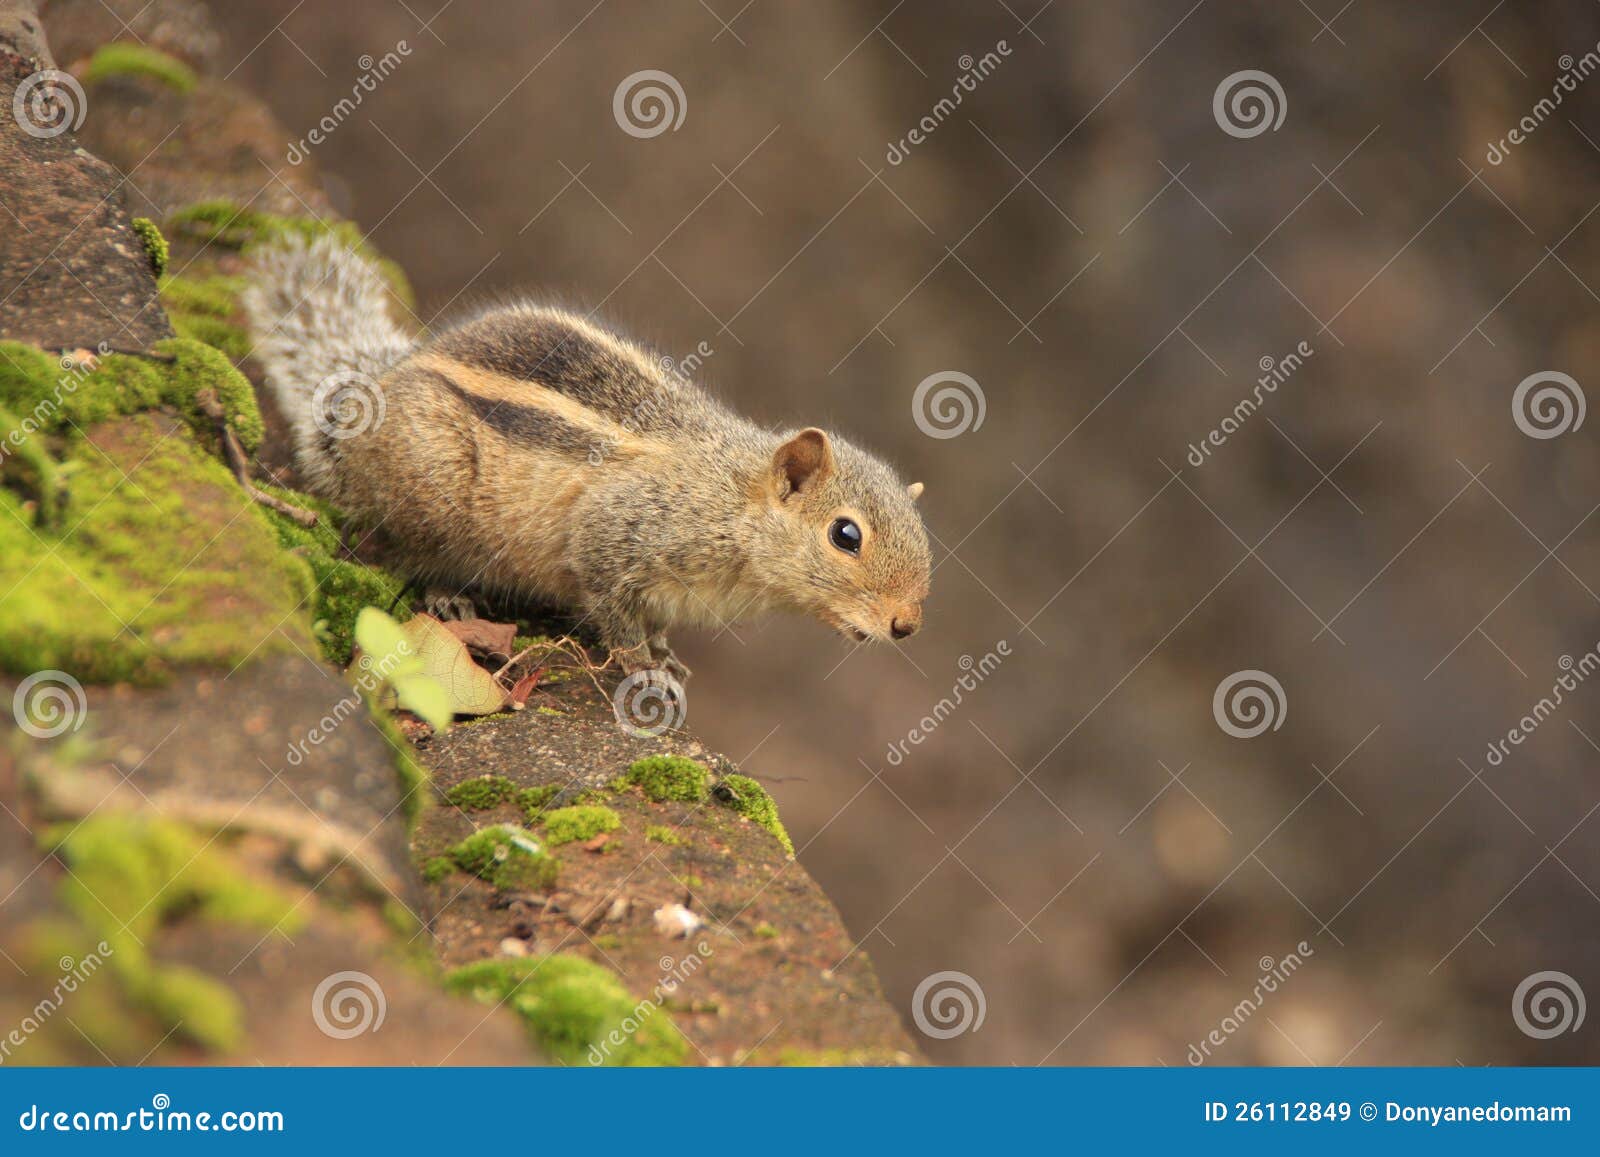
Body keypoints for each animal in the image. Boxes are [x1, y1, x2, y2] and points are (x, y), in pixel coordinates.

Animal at [241, 236, 931, 691]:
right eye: (846, 536)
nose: (906, 625)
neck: (728, 494)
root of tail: (380, 387)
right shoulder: (615, 532)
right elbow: (611, 606)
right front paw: (644, 667)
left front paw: (664, 653)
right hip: (431, 486)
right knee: (403, 549)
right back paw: (448, 594)